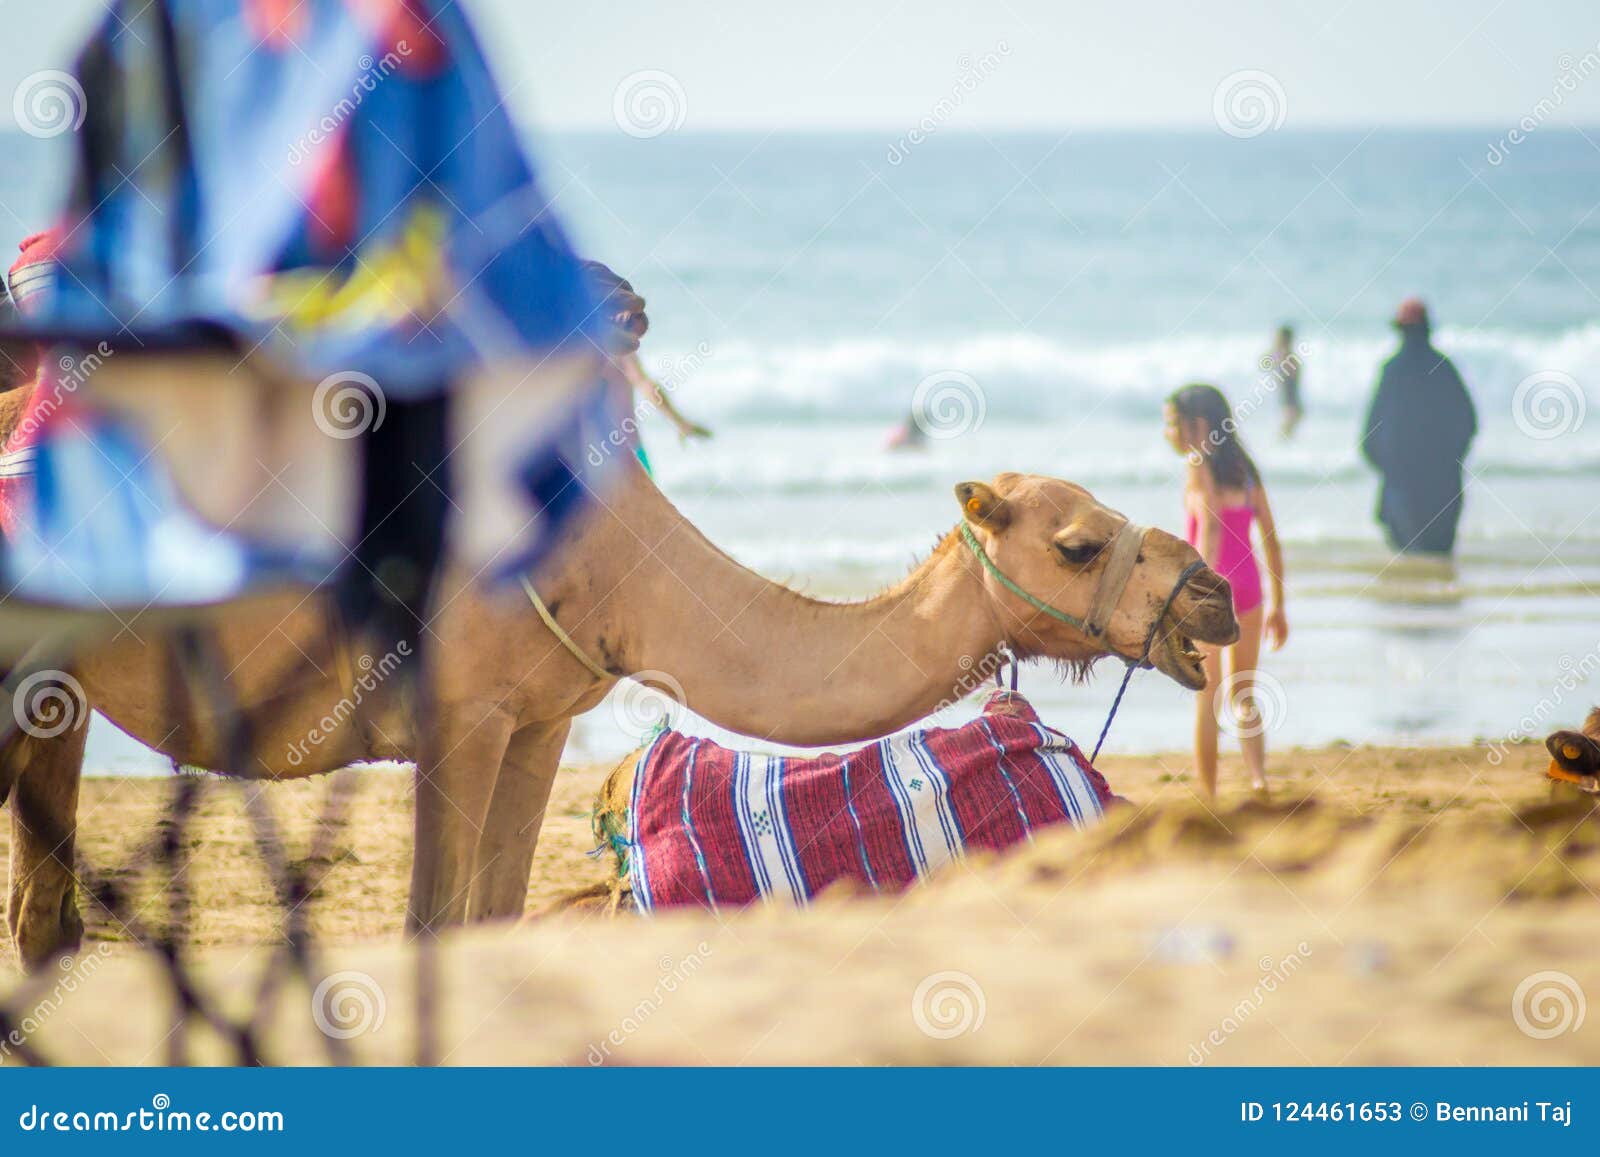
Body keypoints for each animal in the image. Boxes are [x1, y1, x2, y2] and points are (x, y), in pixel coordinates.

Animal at [3, 394, 1239, 970]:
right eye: (1079, 543)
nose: (1216, 599)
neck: (617, 557)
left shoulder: (538, 719)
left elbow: (493, 915)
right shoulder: (460, 715)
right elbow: (430, 923)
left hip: (55, 678)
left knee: (46, 906)